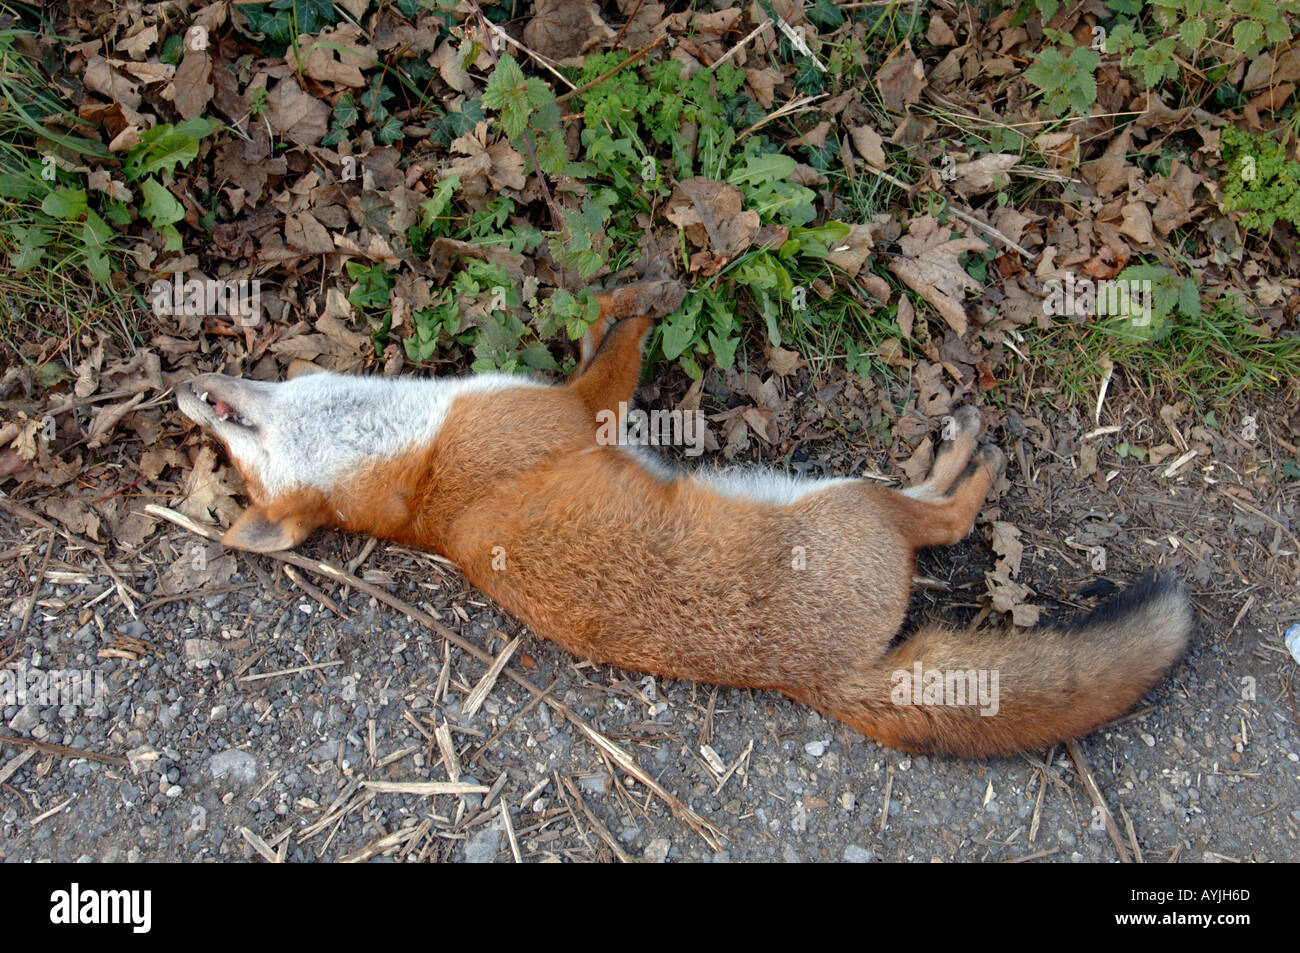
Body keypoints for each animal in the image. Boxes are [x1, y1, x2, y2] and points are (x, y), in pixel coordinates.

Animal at [174, 278, 1193, 758]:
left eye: (231, 458)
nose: (180, 384)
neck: (417, 465)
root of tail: (824, 678)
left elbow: (598, 322)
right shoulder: (577, 410)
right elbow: (621, 342)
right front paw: (661, 283)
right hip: (852, 506)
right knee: (937, 523)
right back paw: (965, 463)